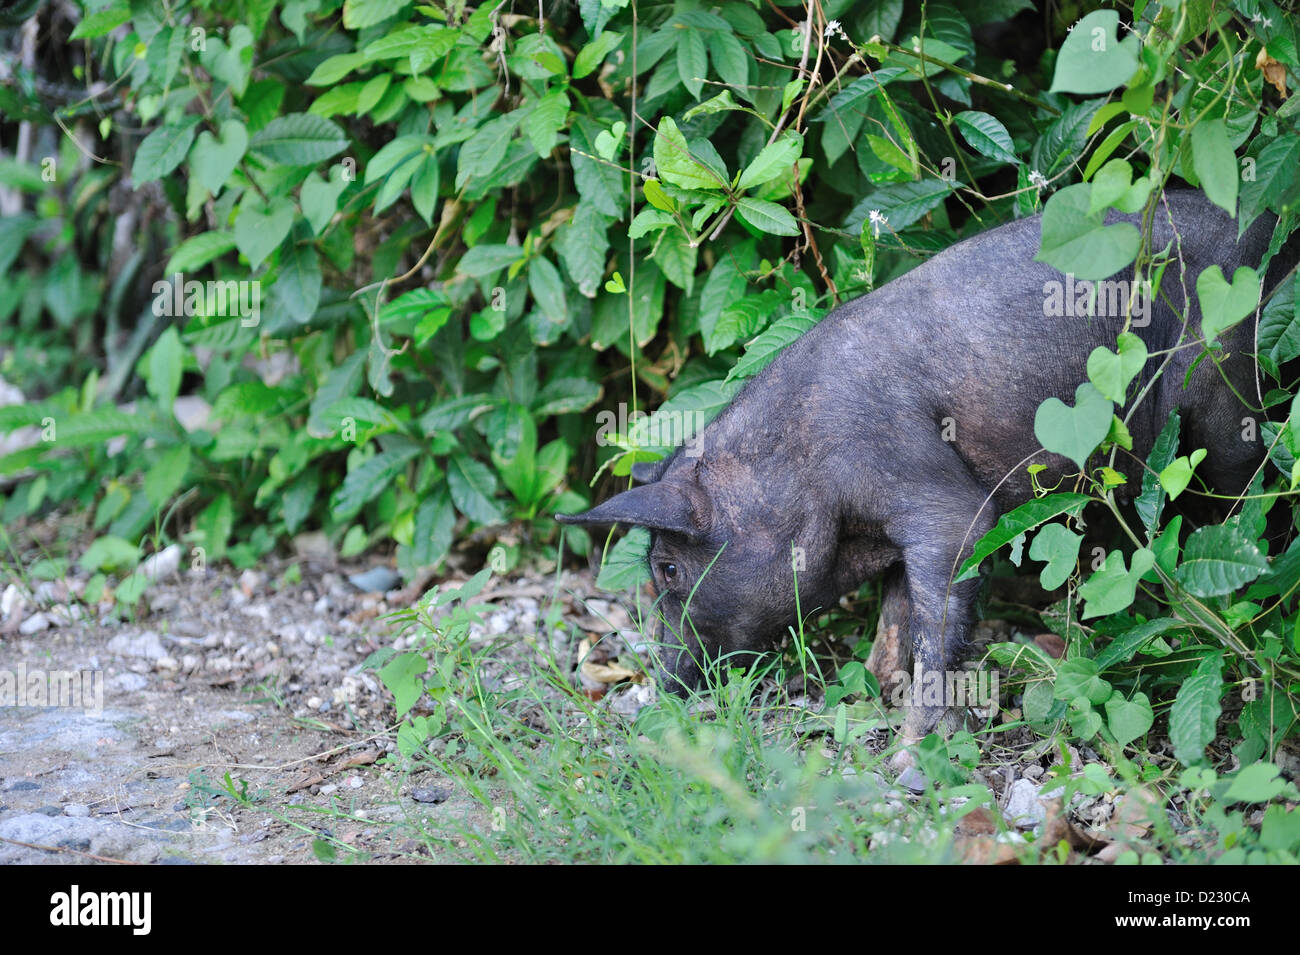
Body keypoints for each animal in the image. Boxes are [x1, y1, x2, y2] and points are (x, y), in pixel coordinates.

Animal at [558, 190, 1296, 753]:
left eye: (669, 569)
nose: (666, 685)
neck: (802, 471)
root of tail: (1265, 219)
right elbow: (895, 613)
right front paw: (876, 690)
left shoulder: (946, 502)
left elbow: (936, 615)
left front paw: (914, 748)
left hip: (1227, 380)